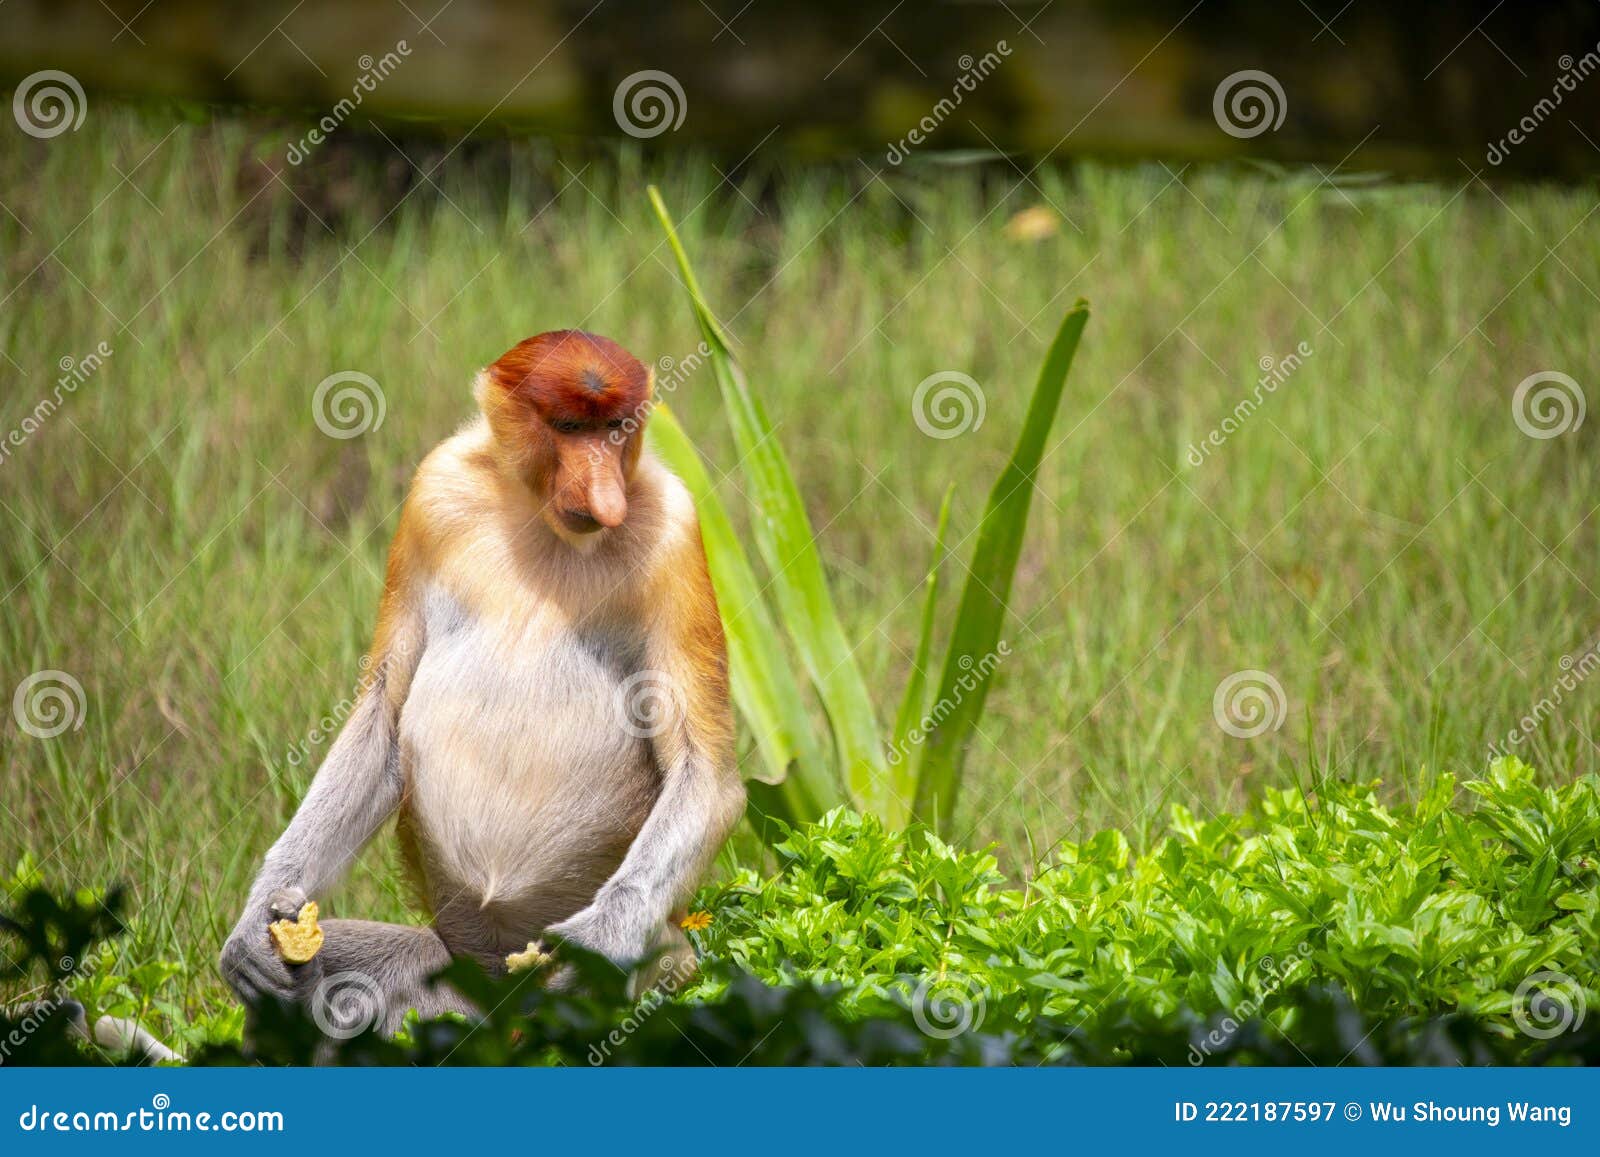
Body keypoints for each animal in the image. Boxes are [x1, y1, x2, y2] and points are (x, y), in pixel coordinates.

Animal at [220, 330, 744, 1032]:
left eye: (616, 431)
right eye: (571, 428)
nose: (607, 497)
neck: (540, 518)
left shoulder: (676, 531)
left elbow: (704, 773)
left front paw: (597, 946)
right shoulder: (433, 490)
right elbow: (382, 714)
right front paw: (254, 929)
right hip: (446, 973)